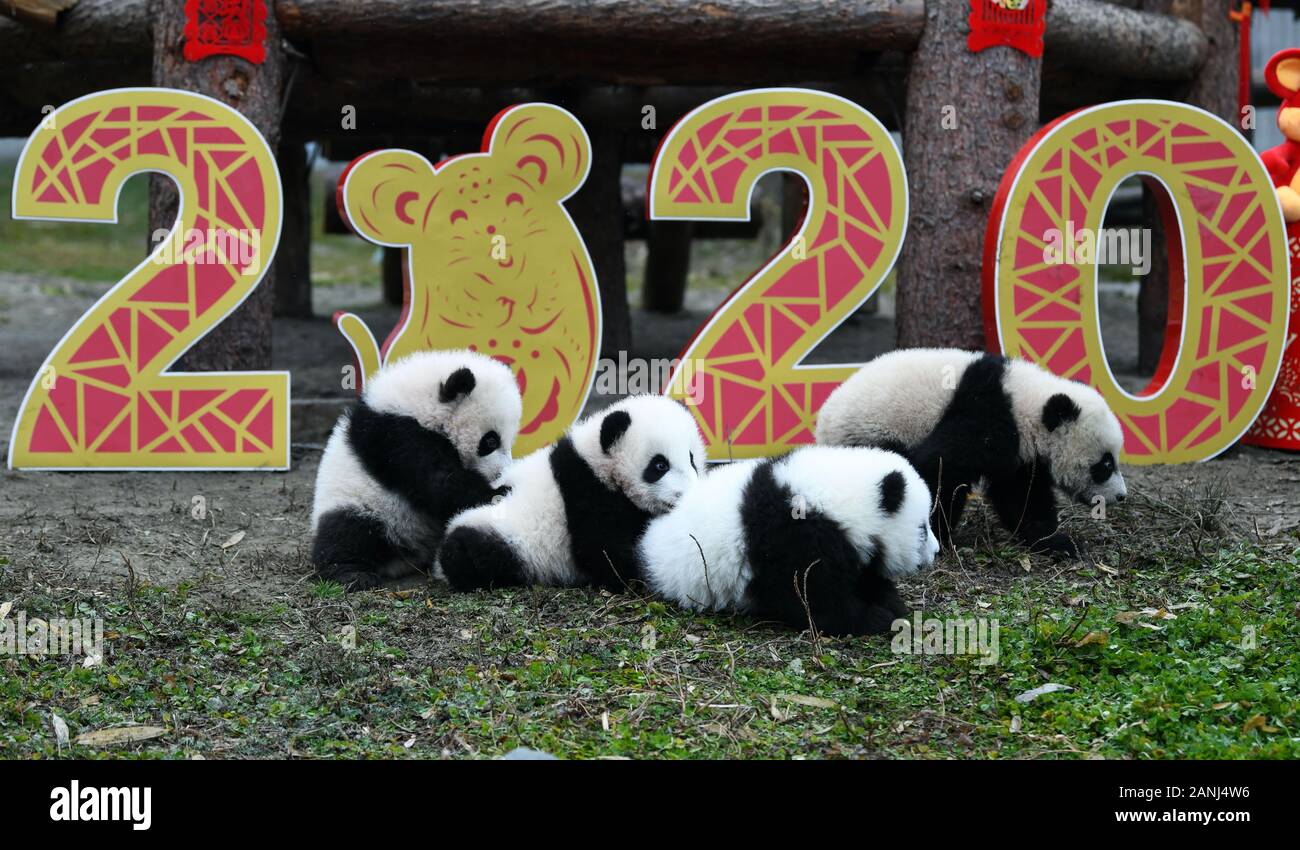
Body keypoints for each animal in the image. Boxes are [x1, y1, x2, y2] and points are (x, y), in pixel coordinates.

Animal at [310, 349, 522, 591]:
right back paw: (351, 573)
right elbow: (439, 483)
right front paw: (499, 492)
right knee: (346, 533)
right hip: (358, 502)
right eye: (490, 441)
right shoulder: (395, 436)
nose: (500, 473)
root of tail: (404, 556)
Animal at [438, 395, 706, 592]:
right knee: (468, 550)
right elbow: (600, 549)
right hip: (501, 531)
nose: (685, 494)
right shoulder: (583, 490)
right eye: (660, 465)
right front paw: (636, 571)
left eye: (692, 459)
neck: (598, 462)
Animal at [637, 446, 939, 636]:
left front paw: (889, 602)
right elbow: (813, 599)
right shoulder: (794, 539)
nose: (936, 552)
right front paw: (875, 617)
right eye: (923, 528)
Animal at [815, 348, 1127, 558]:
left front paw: (1055, 541)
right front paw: (937, 533)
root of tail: (823, 422)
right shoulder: (985, 413)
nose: (1121, 496)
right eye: (1105, 464)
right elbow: (940, 465)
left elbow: (1021, 495)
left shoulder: (1020, 453)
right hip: (873, 432)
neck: (1028, 404)